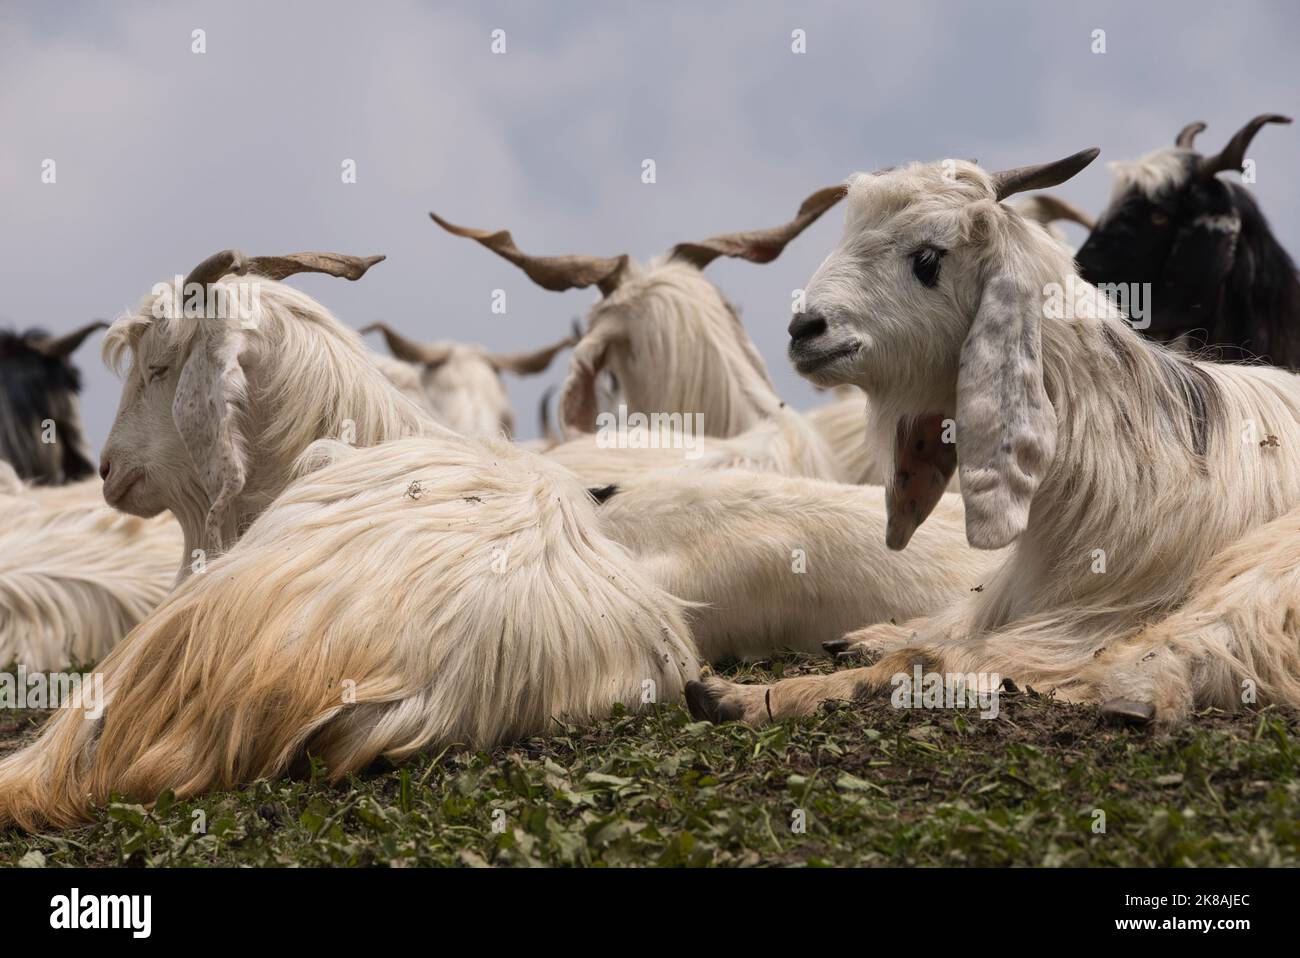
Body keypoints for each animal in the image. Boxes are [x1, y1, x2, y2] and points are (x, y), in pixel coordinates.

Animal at [687, 148, 1300, 727]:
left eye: (928, 258)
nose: (804, 330)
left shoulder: (1083, 631)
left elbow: (930, 657)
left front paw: (746, 695)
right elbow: (939, 630)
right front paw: (866, 638)